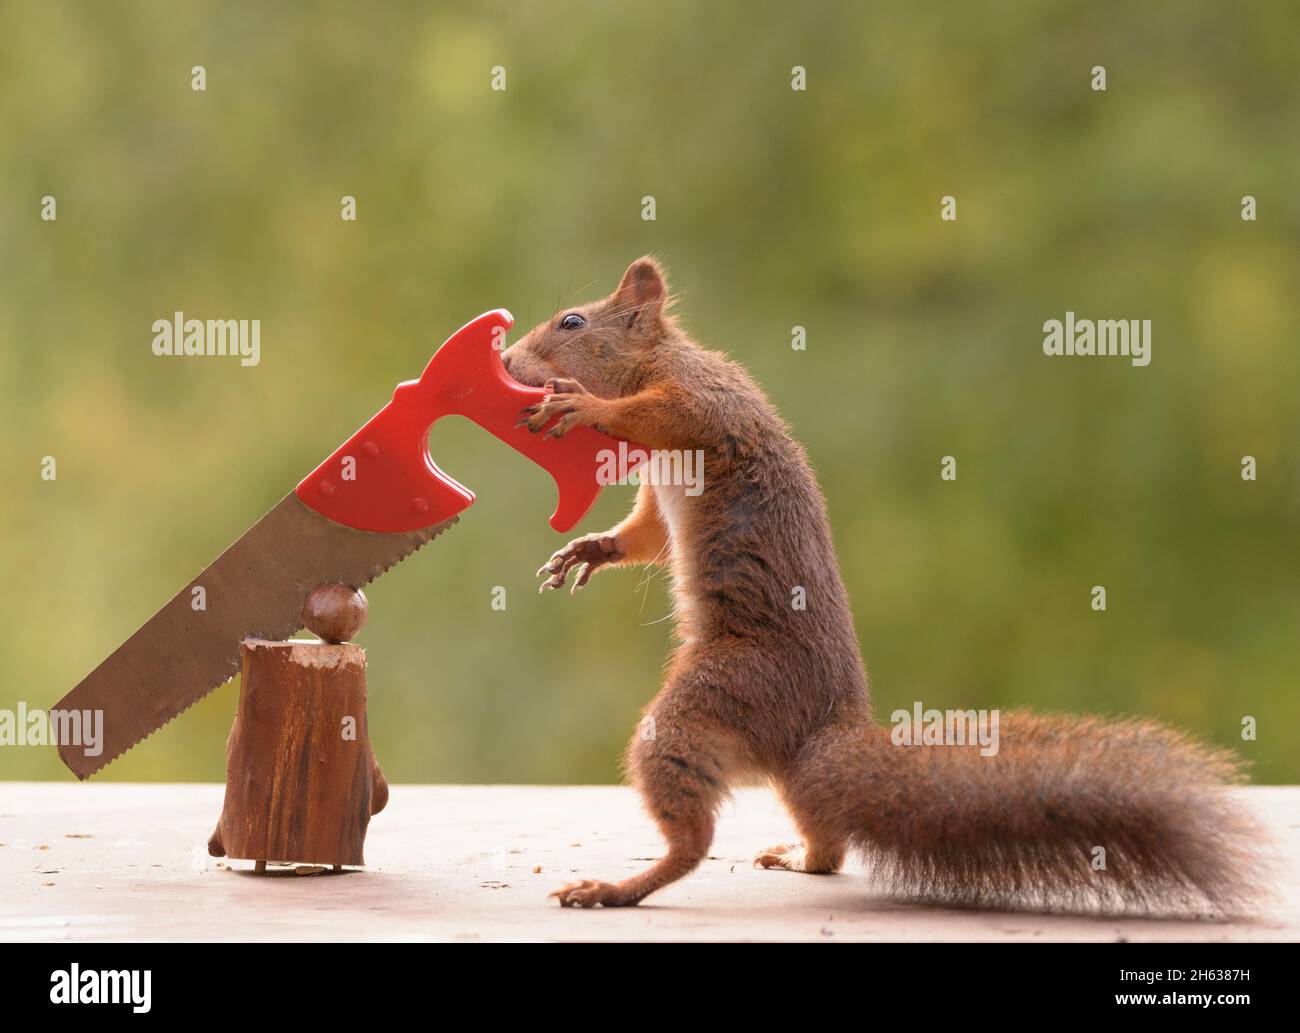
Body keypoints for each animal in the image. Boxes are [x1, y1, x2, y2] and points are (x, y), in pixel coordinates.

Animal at [502, 256, 1260, 912]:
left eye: (572, 321)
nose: (508, 361)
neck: (654, 361)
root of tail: (822, 731)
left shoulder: (704, 403)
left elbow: (658, 414)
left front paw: (582, 405)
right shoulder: (662, 490)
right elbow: (649, 535)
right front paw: (591, 548)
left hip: (713, 697)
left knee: (695, 840)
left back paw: (616, 887)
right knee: (829, 846)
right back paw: (792, 857)